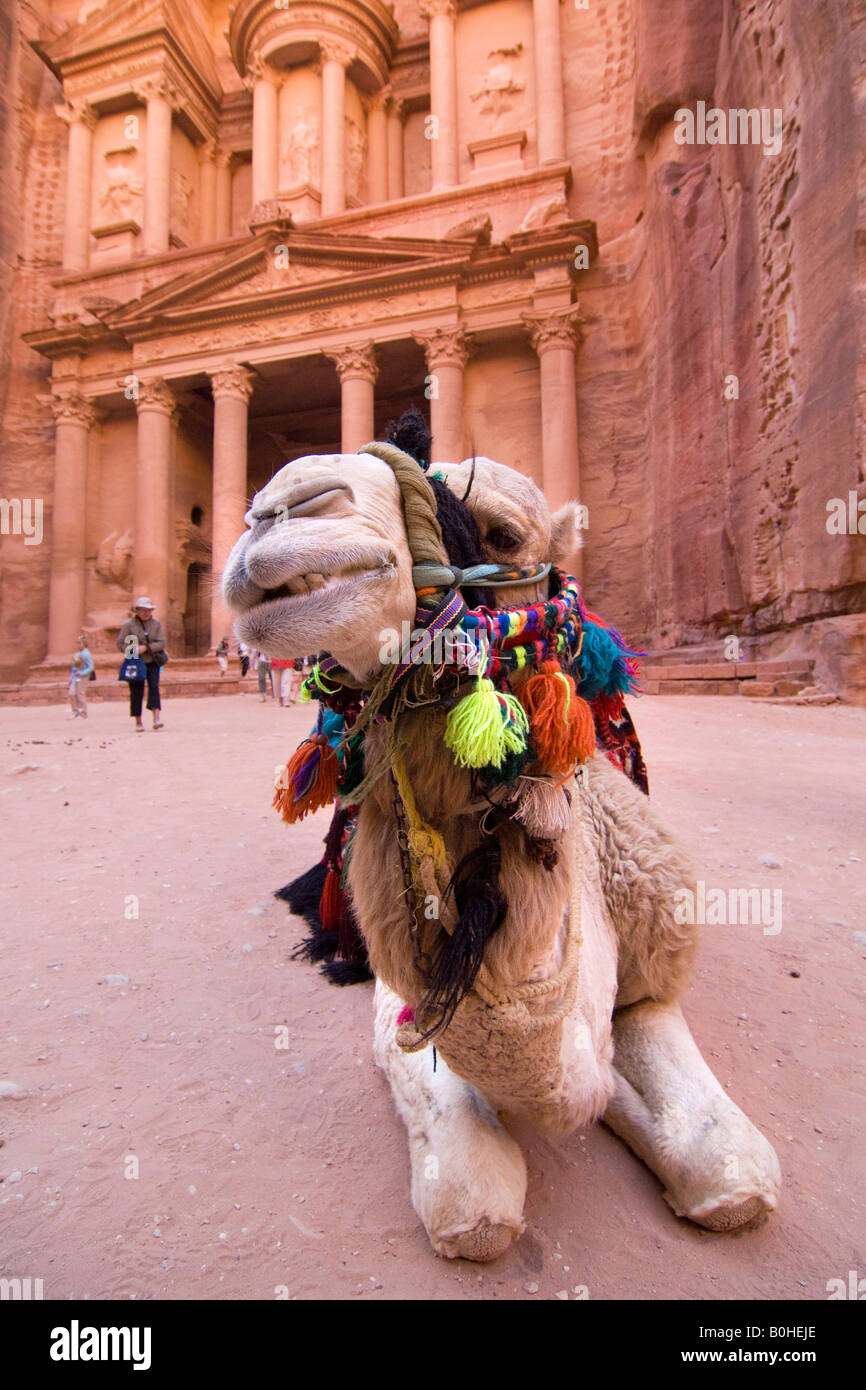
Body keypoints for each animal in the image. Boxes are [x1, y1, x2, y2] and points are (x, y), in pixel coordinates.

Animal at [223, 436, 781, 1263]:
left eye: (505, 534)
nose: (279, 510)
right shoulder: (402, 998)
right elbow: (472, 1201)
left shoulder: (655, 970)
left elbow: (731, 1170)